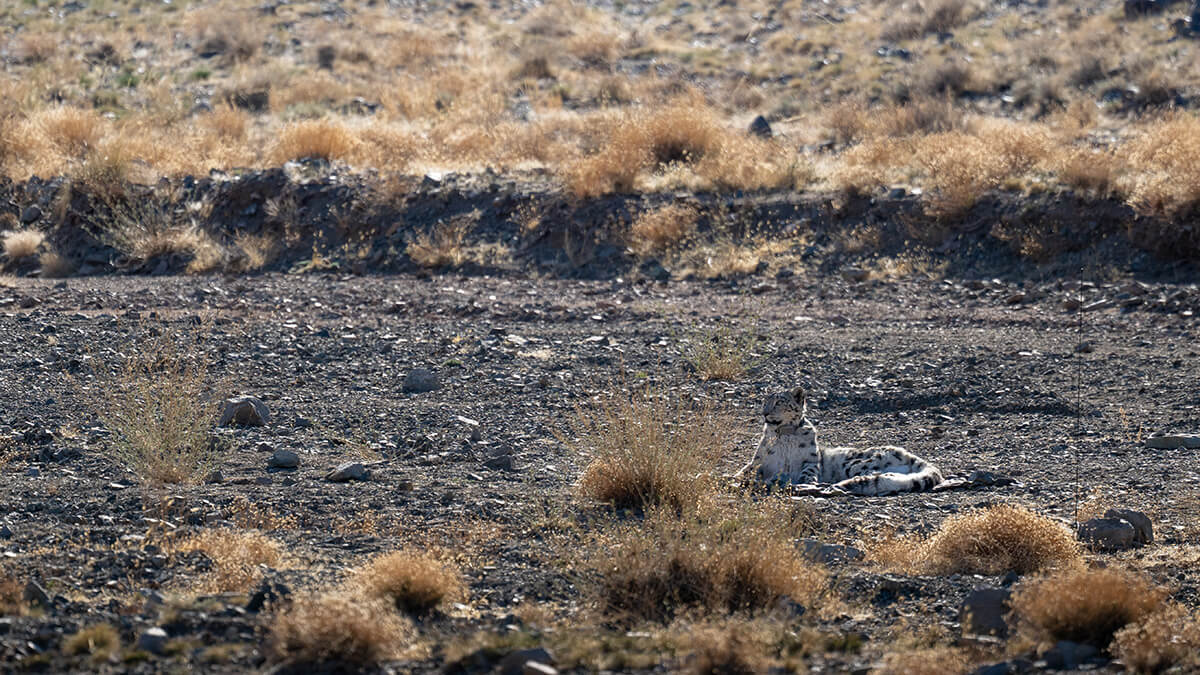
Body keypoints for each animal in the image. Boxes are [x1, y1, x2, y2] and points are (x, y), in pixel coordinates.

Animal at [736, 387, 943, 496]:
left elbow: (808, 474)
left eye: (779, 402)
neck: (784, 435)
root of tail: (907, 453)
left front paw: (804, 483)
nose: (764, 413)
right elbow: (745, 470)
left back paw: (836, 486)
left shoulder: (810, 461)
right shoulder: (758, 462)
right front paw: (735, 478)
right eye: (764, 401)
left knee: (879, 475)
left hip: (857, 463)